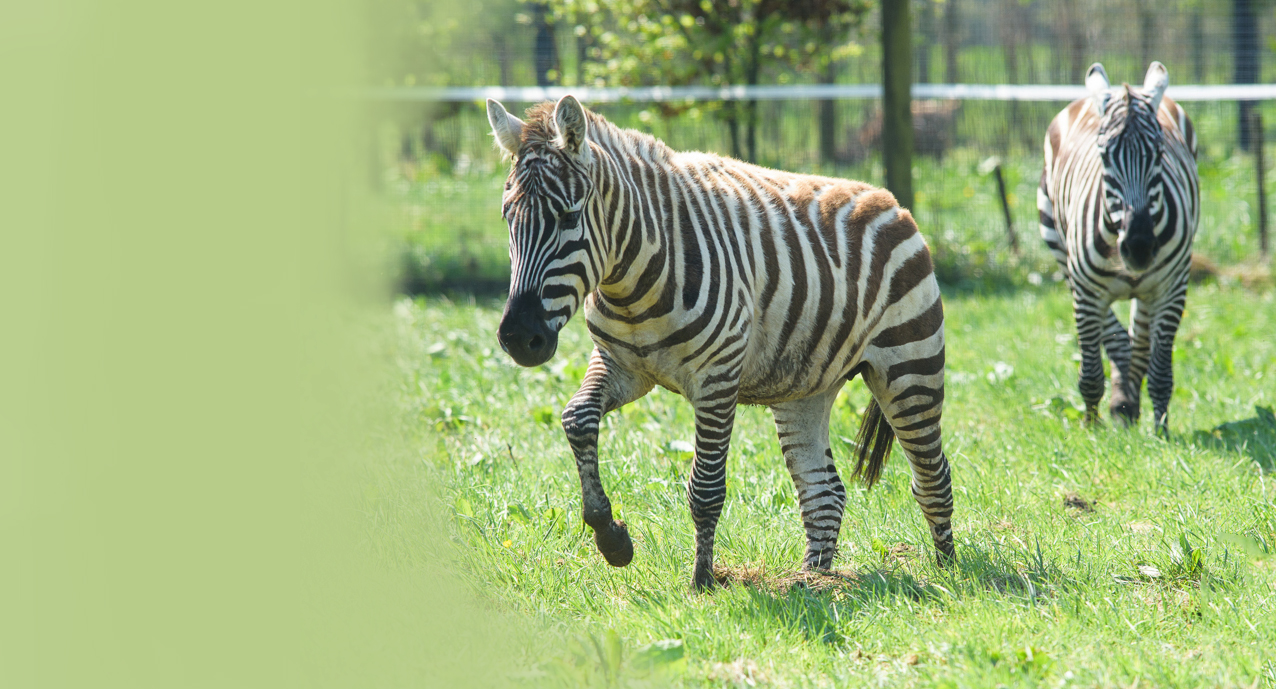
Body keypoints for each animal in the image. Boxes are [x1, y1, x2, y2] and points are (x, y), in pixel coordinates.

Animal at [486, 95, 955, 589]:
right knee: (824, 491)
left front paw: (703, 581)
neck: (632, 284)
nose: (519, 338)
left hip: (911, 369)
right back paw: (812, 583)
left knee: (931, 475)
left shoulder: (717, 378)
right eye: (508, 218)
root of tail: (891, 202)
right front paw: (611, 537)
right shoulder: (621, 366)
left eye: (569, 217)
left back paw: (948, 574)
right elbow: (576, 419)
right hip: (805, 387)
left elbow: (706, 488)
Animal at [1038, 62, 1198, 432]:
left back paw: (1128, 399)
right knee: (1116, 337)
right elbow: (1090, 372)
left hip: (1152, 287)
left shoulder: (1172, 289)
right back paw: (1121, 400)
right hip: (1061, 255)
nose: (1138, 248)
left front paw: (1161, 431)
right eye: (1105, 157)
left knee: (1138, 338)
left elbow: (1161, 372)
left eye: (1159, 155)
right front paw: (1091, 427)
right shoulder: (1085, 292)